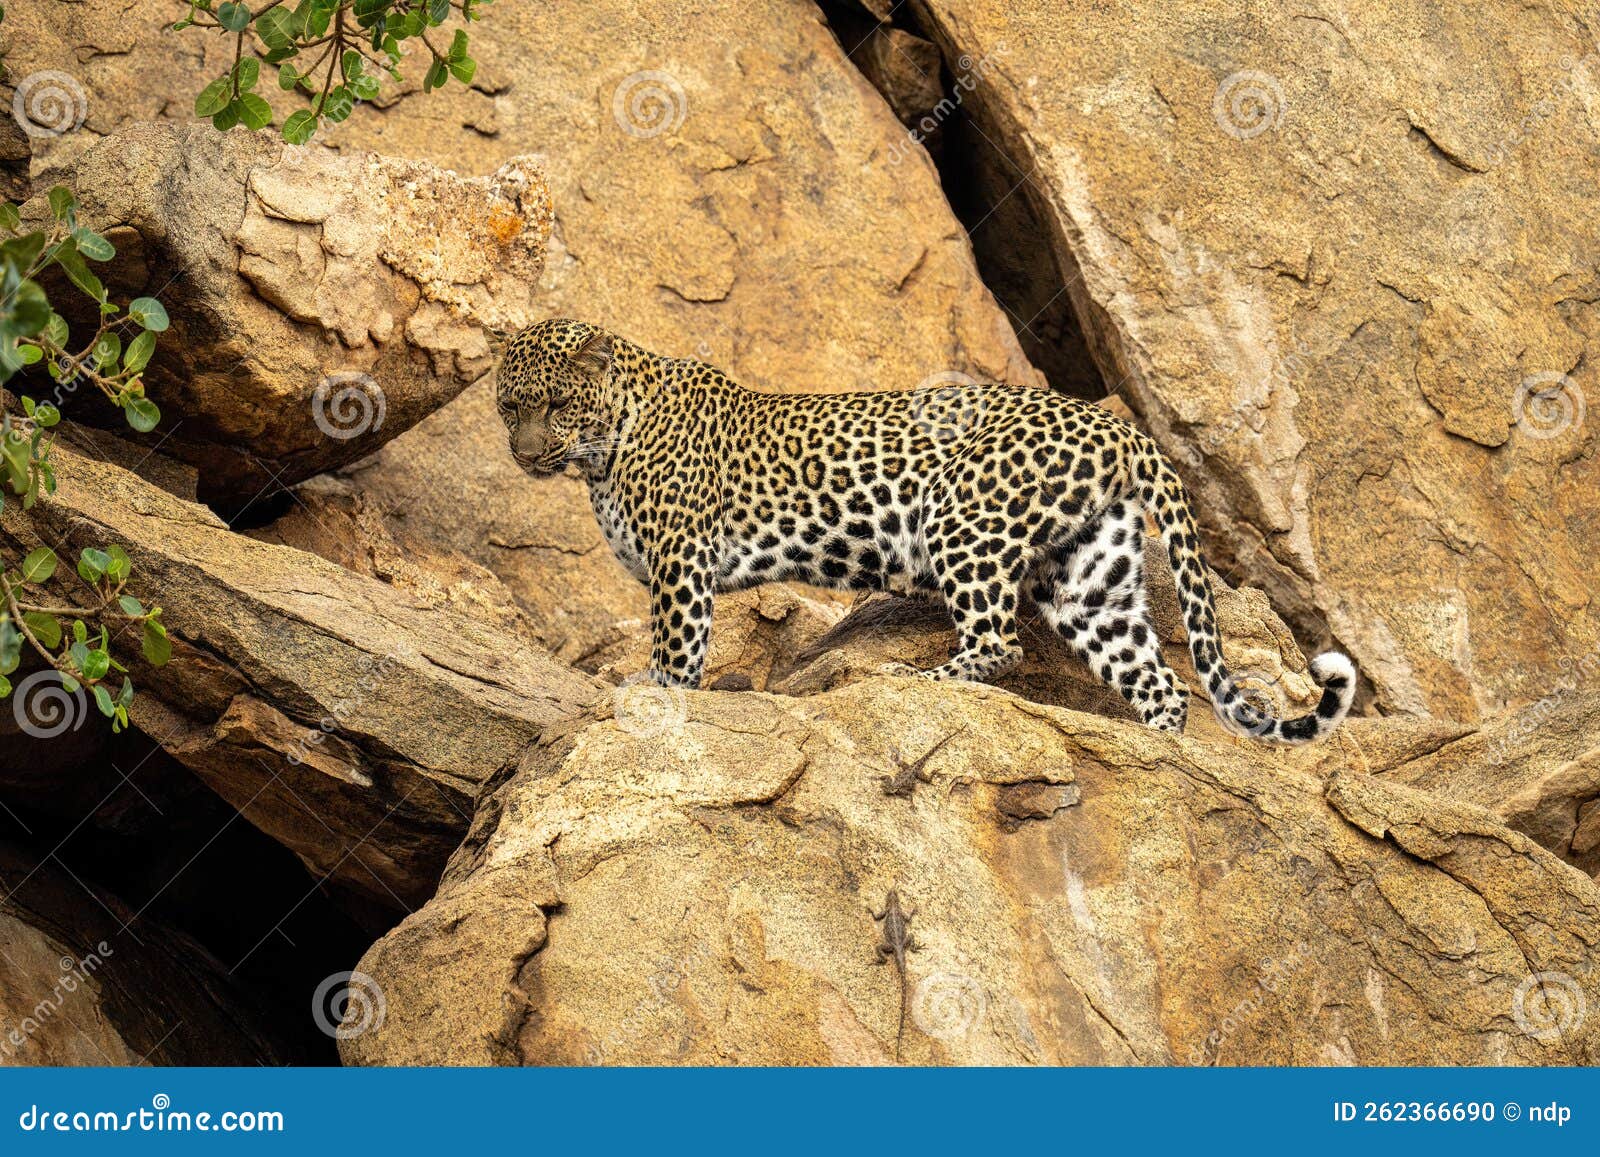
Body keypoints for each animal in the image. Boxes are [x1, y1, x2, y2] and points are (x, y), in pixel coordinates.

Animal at [496, 318, 1356, 744]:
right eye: (510, 406)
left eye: (559, 404)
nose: (525, 454)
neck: (603, 448)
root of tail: (1119, 426)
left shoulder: (680, 561)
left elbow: (677, 648)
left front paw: (659, 692)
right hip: (1089, 578)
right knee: (1161, 680)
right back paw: (1157, 757)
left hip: (961, 523)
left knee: (1000, 645)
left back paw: (918, 679)